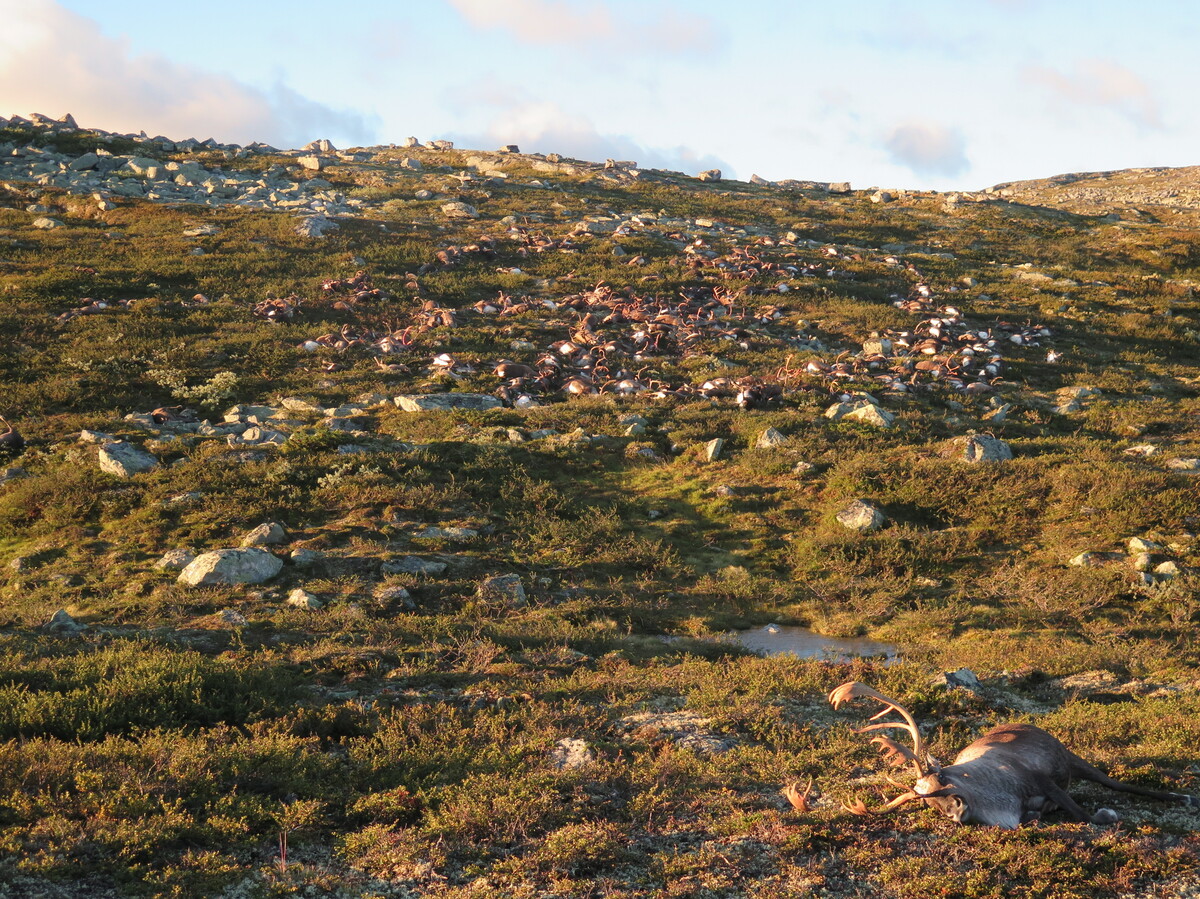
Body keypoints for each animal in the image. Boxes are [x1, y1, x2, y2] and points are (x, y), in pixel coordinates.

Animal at [802, 681, 1199, 829]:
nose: (955, 812)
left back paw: (1179, 795)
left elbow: (1088, 814)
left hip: (1070, 757)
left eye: (941, 780)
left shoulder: (1042, 781)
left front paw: (1105, 814)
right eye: (924, 803)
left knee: (1116, 783)